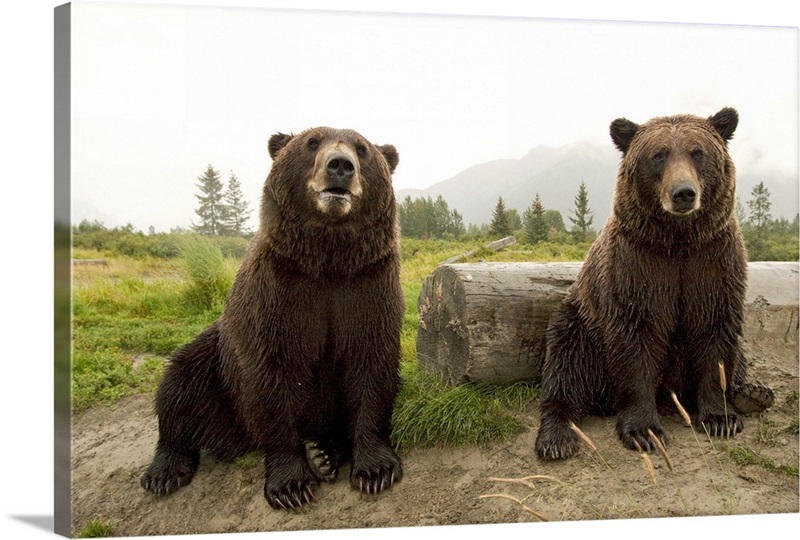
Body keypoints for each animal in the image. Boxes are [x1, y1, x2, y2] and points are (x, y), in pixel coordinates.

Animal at [140, 127, 405, 510]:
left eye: (362, 149)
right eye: (312, 142)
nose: (340, 166)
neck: (329, 259)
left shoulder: (366, 287)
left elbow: (370, 364)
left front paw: (375, 470)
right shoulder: (279, 295)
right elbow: (272, 378)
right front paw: (290, 486)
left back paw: (323, 453)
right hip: (216, 363)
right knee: (180, 383)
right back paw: (165, 470)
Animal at [535, 107, 774, 461]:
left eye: (697, 152)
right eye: (658, 155)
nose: (683, 193)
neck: (678, 240)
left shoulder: (712, 262)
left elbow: (715, 334)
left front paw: (720, 418)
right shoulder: (638, 267)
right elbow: (637, 340)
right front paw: (644, 430)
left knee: (739, 357)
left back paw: (752, 394)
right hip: (582, 326)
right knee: (566, 365)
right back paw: (557, 436)